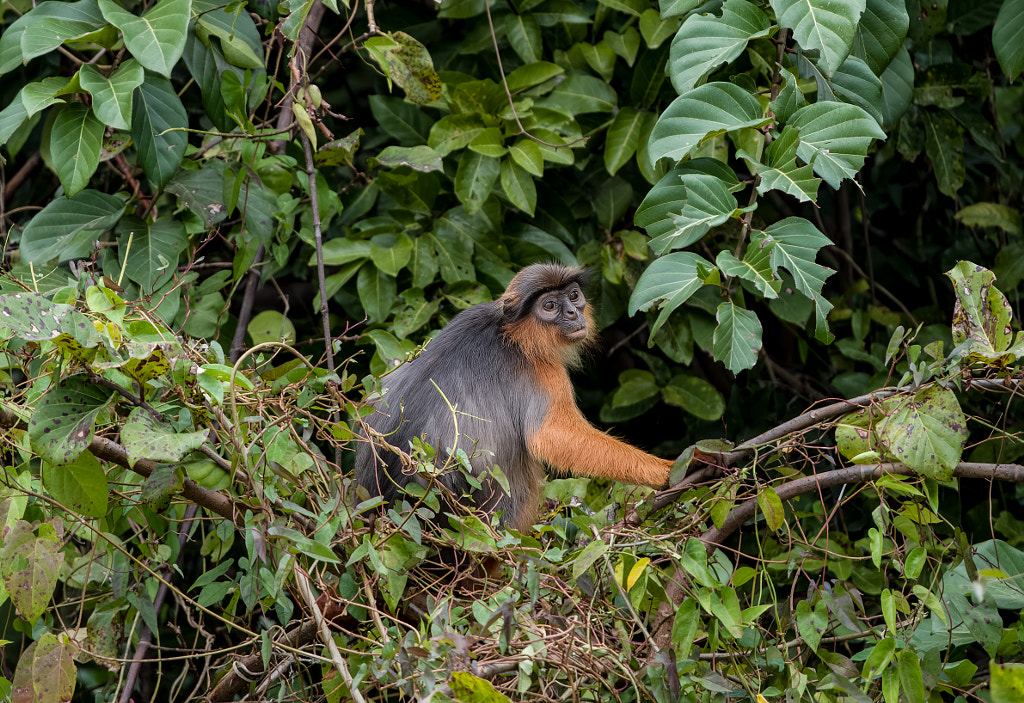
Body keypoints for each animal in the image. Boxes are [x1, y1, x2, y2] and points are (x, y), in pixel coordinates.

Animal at [354, 264, 675, 533]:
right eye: (549, 306)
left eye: (574, 296)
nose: (574, 313)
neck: (510, 332)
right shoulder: (542, 370)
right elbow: (552, 436)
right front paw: (667, 471)